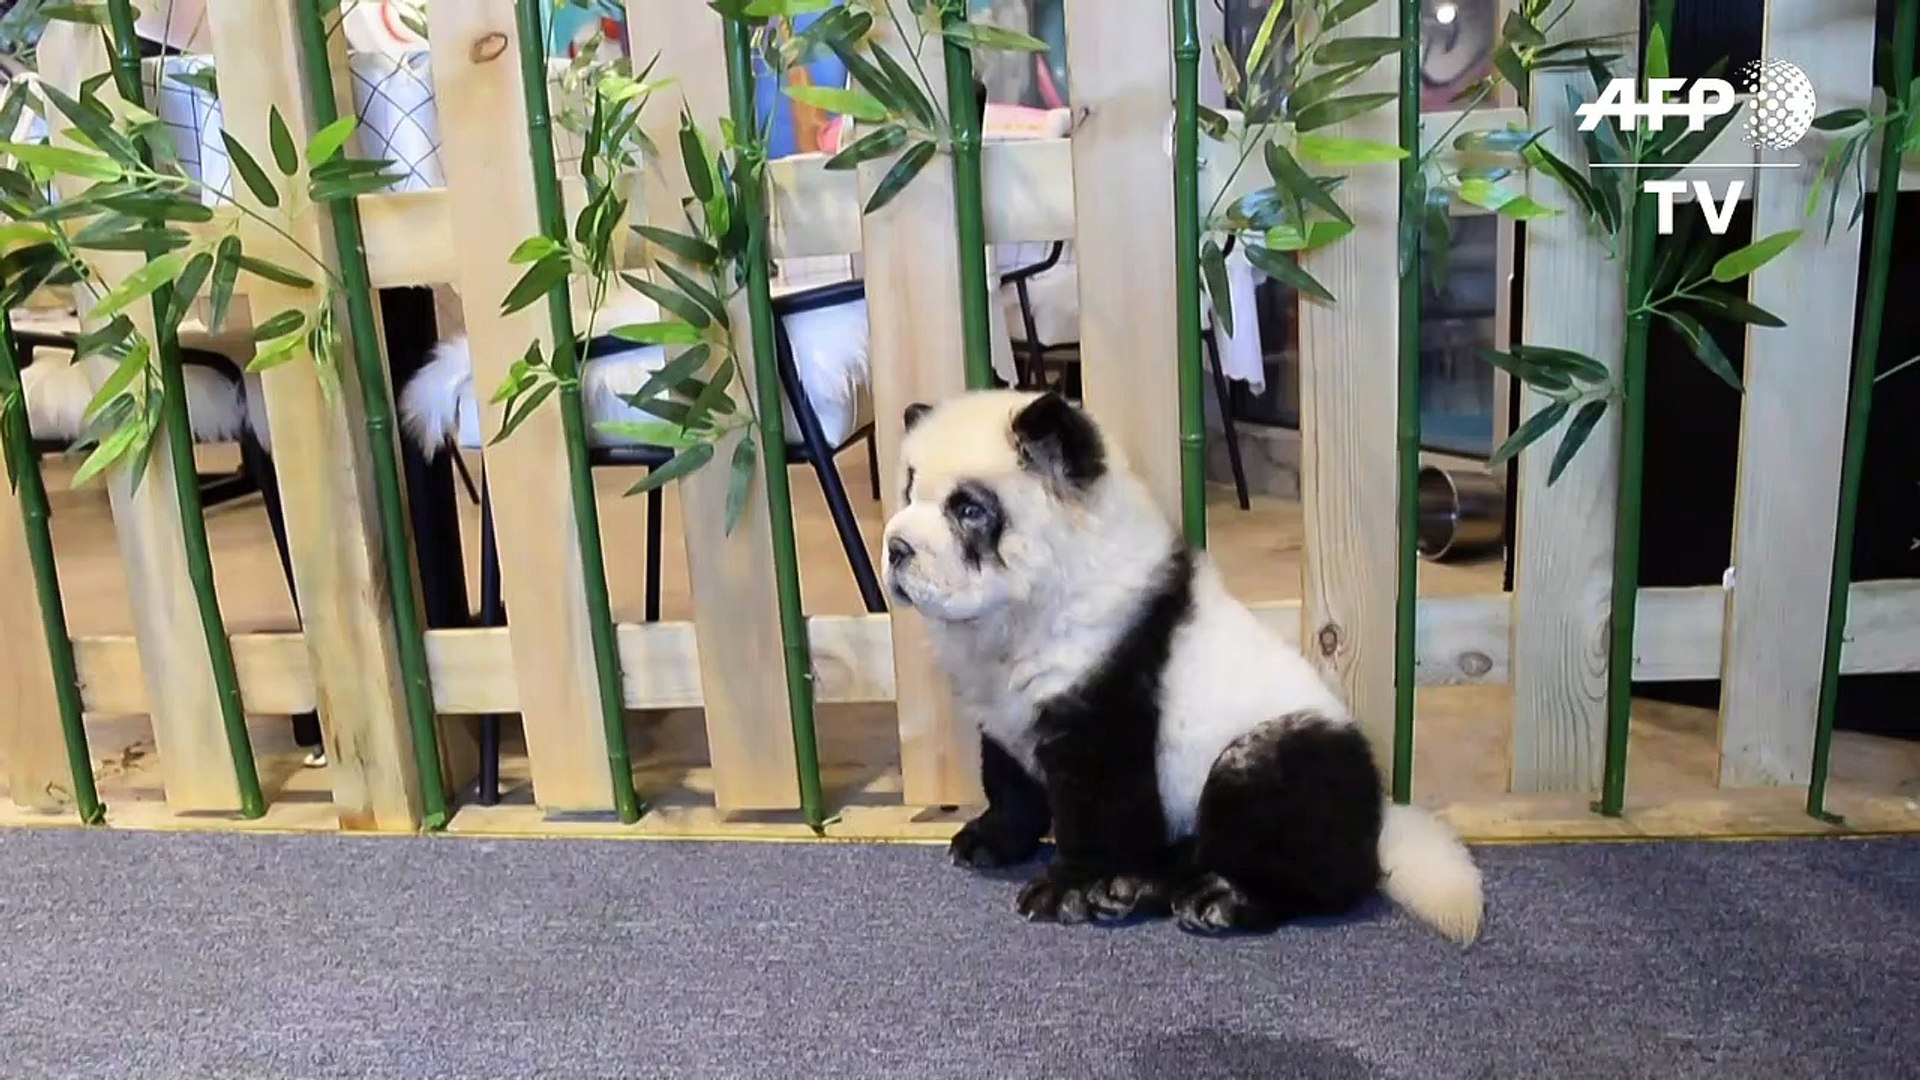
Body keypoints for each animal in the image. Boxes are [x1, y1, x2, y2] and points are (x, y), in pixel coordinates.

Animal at [880, 389, 1484, 942]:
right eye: (908, 490)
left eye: (969, 509)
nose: (896, 548)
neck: (1026, 613)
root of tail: (1380, 818)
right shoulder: (1002, 711)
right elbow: (1008, 782)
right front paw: (987, 841)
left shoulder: (1104, 705)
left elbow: (1089, 807)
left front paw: (1061, 890)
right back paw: (1134, 887)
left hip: (1271, 762)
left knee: (1309, 865)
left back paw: (1218, 900)